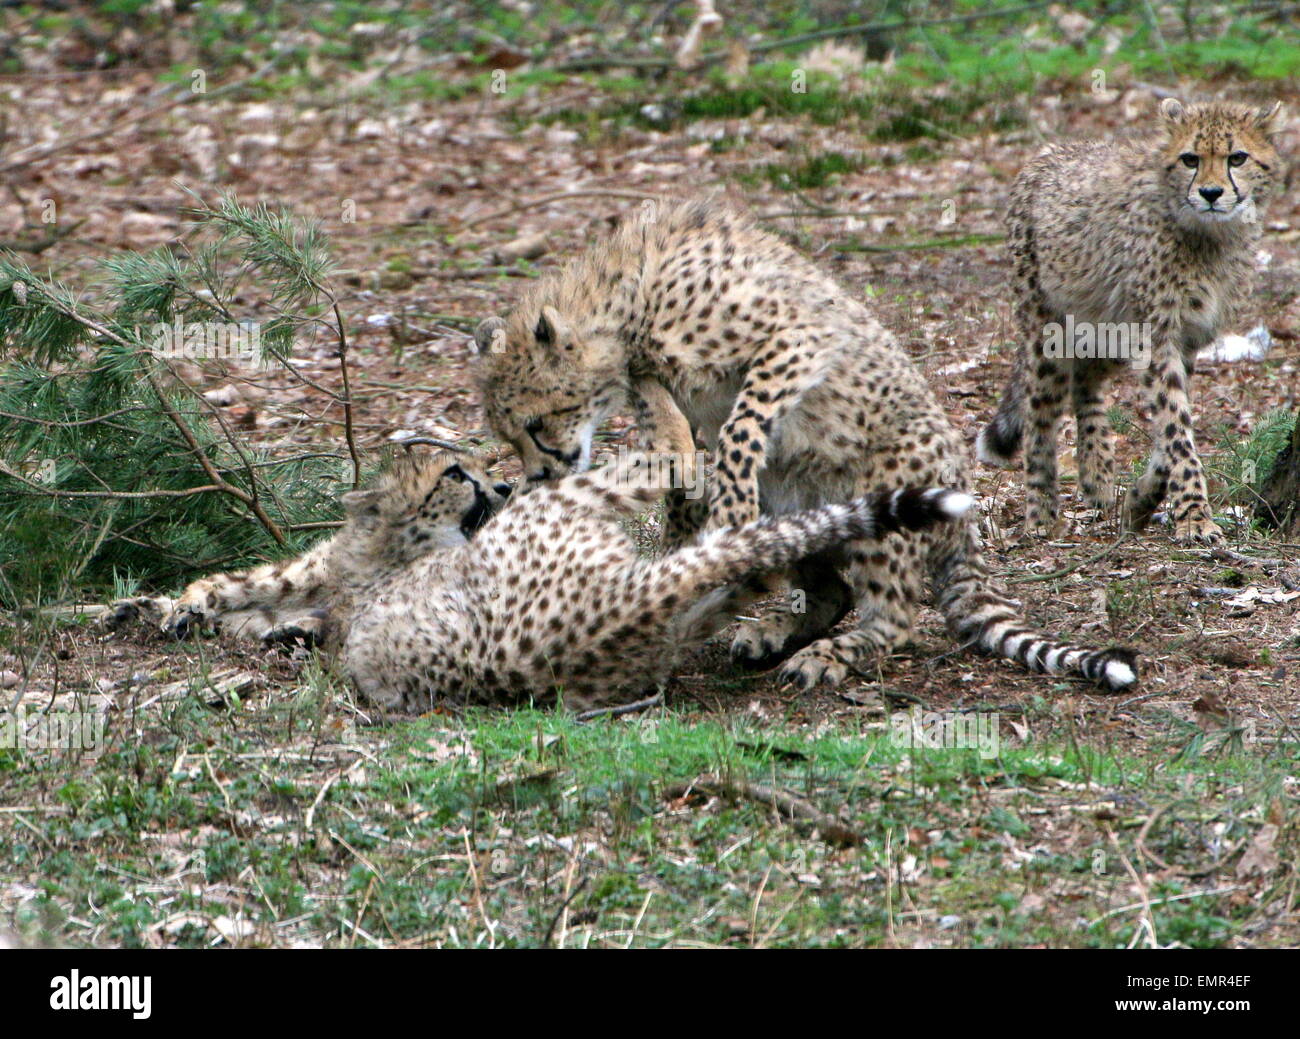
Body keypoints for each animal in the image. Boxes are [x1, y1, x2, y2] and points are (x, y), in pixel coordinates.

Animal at [105, 449, 974, 712]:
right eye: (451, 472)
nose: (498, 482)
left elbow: (258, 593)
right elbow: (251, 589)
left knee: (745, 572)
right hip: (583, 514)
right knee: (667, 474)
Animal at [473, 197, 1139, 692]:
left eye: (533, 426)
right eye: (511, 435)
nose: (539, 478)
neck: (625, 301)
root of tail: (966, 524)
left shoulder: (795, 336)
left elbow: (740, 427)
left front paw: (724, 517)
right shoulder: (661, 389)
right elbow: (679, 467)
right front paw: (680, 557)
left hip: (887, 495)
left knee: (895, 616)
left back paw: (825, 655)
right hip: (799, 508)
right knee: (832, 589)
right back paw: (770, 631)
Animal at [977, 98, 1287, 543]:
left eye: (1237, 158)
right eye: (1190, 159)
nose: (1211, 193)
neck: (1208, 236)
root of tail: (1048, 152)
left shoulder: (1185, 338)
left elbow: (1170, 428)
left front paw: (1141, 499)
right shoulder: (1157, 335)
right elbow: (1176, 429)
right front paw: (1194, 516)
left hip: (1106, 325)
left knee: (1085, 383)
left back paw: (1097, 477)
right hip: (1047, 328)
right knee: (1041, 413)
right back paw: (1041, 513)